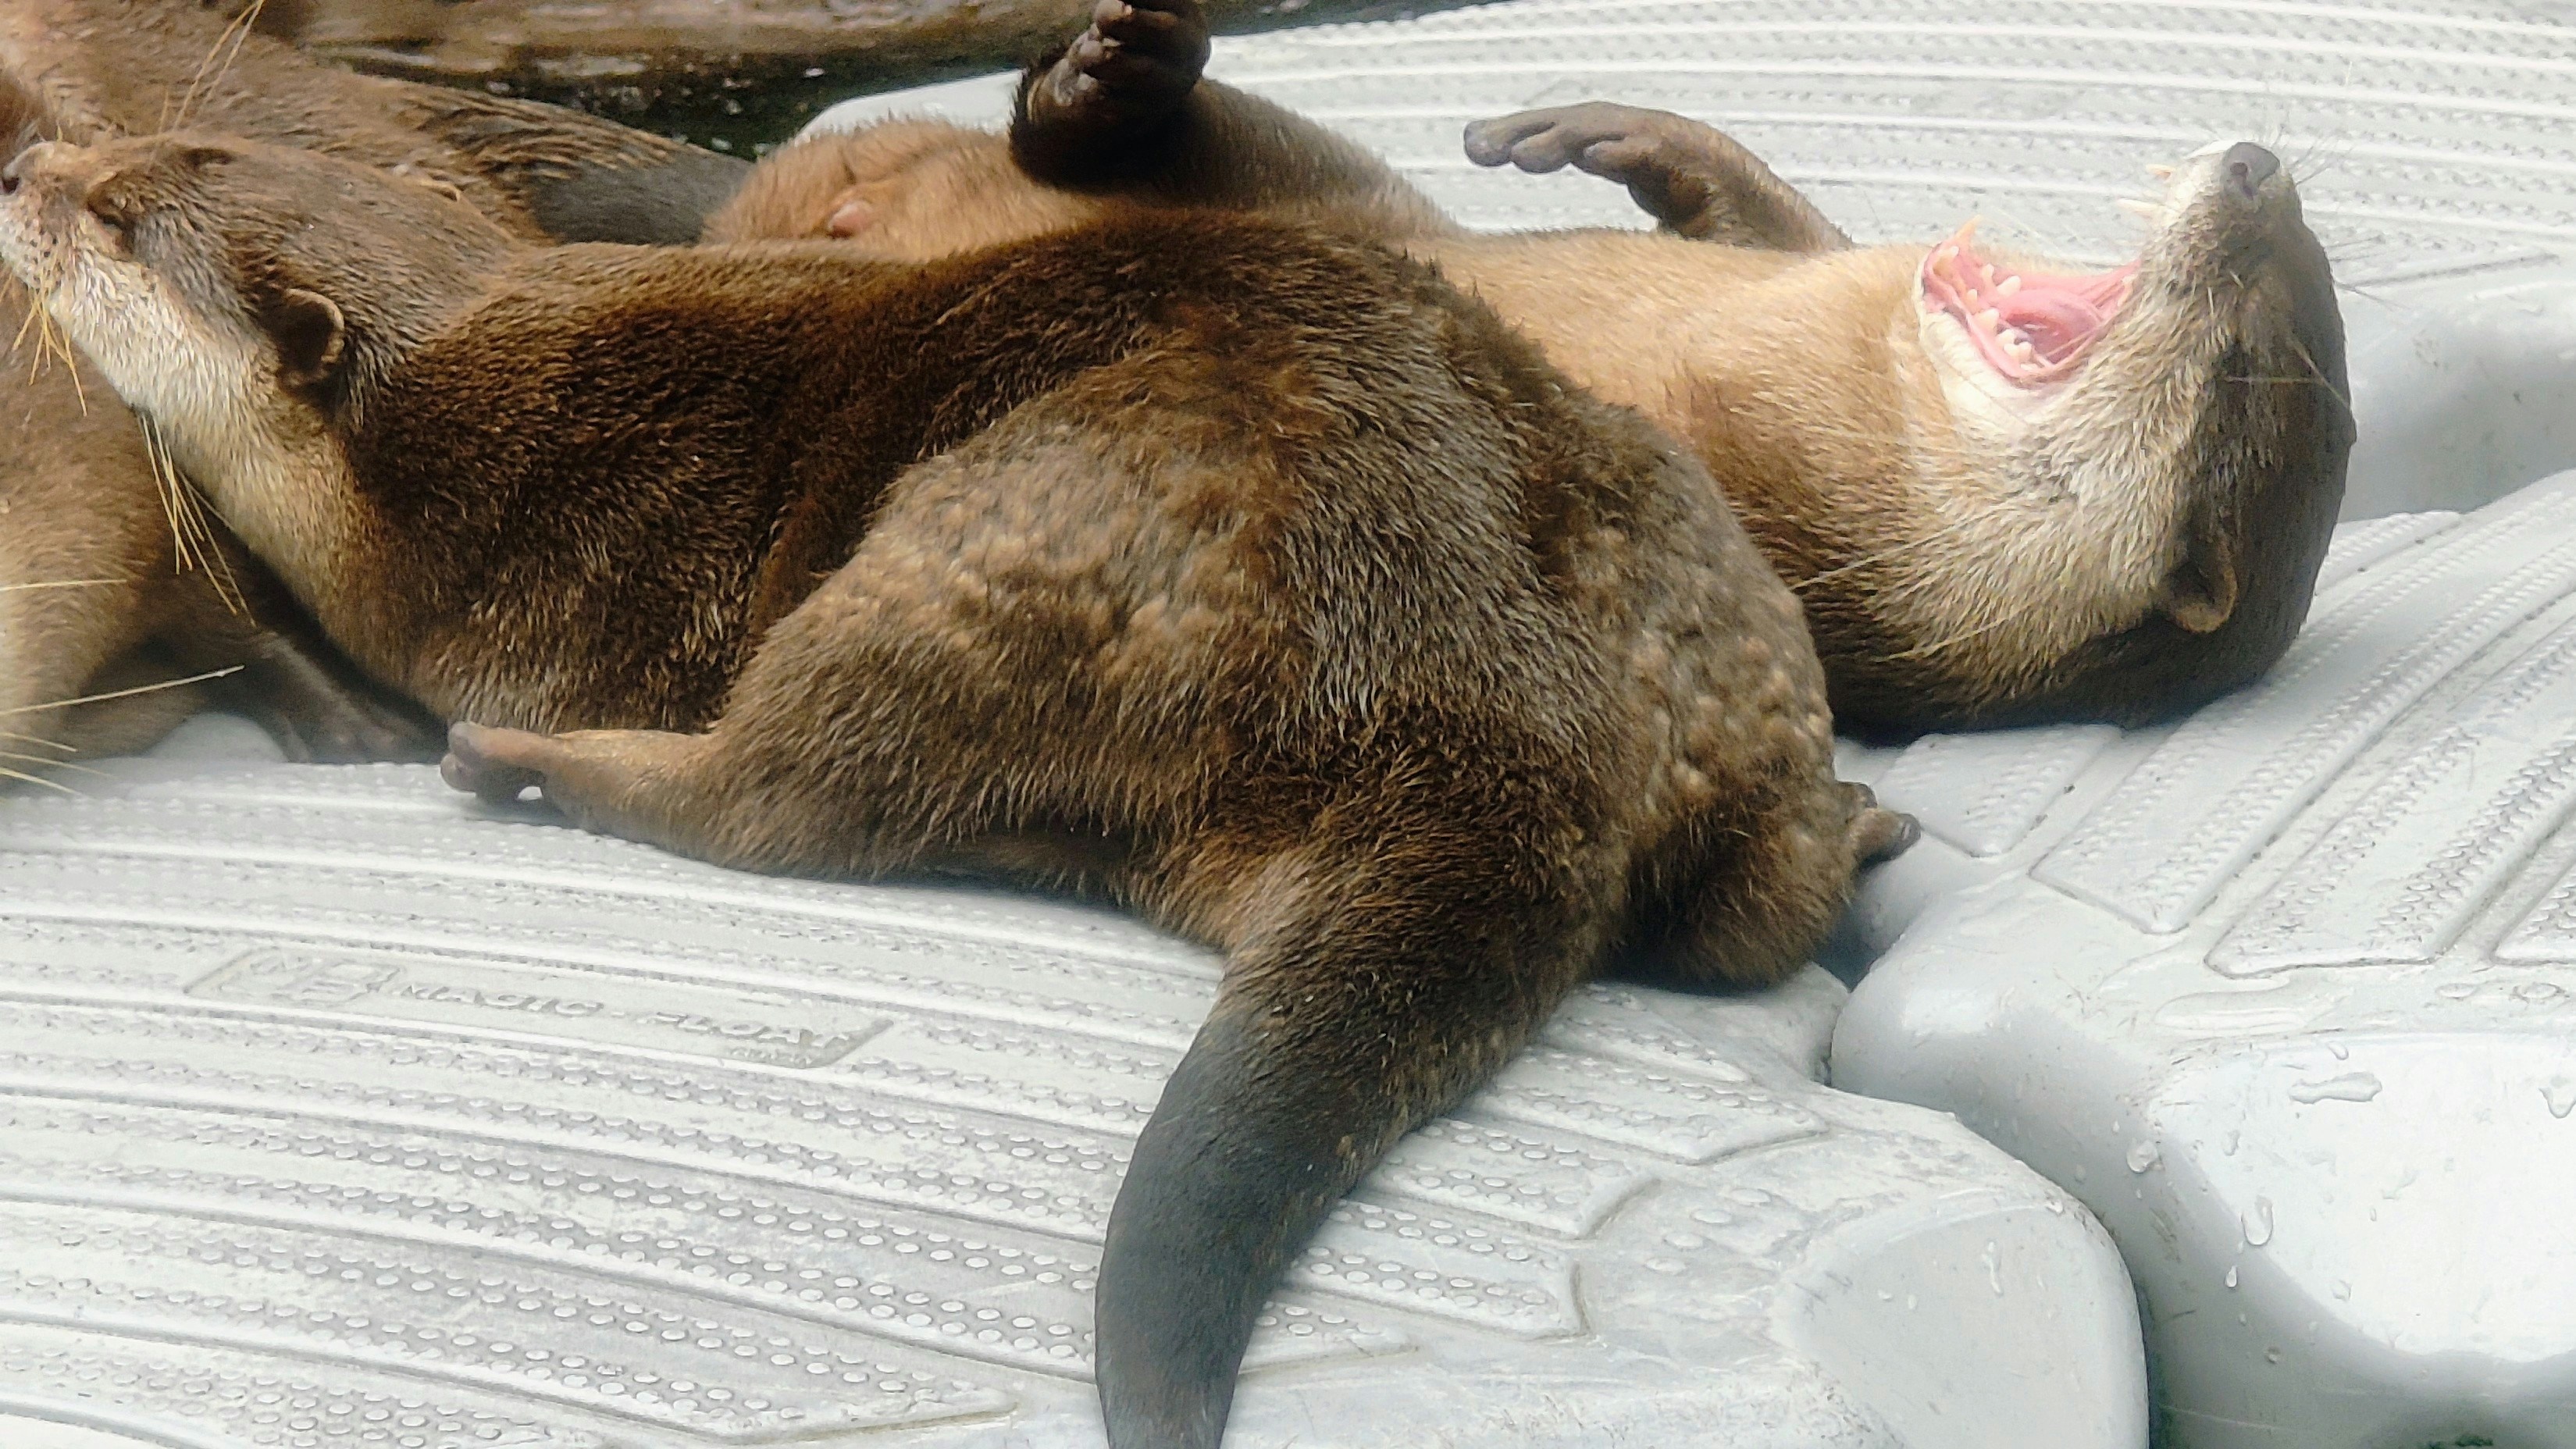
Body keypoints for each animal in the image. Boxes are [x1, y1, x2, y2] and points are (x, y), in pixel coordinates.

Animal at [0, 130, 1908, 1447]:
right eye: (153, 147)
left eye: (117, 221)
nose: (29, 162)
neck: (459, 419)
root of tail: (1485, 690)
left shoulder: (556, 582)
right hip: (1676, 546)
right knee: (1750, 914)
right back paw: (1862, 825)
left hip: (1003, 542)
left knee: (791, 789)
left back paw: (540, 773)